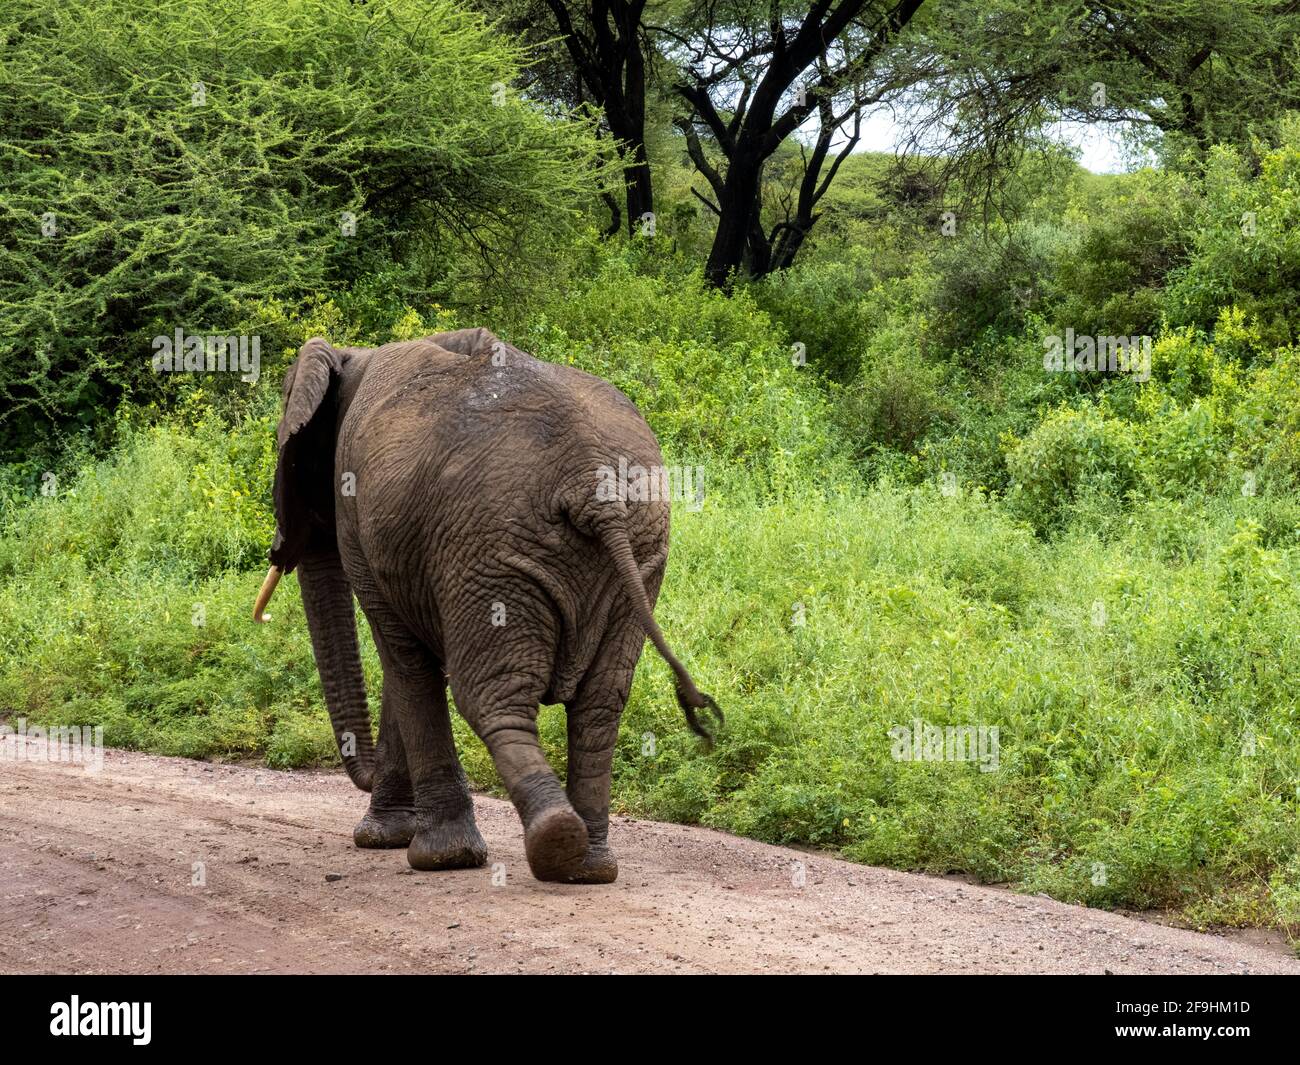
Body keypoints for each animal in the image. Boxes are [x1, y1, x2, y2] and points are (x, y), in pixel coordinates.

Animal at [251, 328, 720, 883]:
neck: (353, 357)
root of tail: (590, 480)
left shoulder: (361, 517)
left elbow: (404, 660)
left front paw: (433, 855)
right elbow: (407, 663)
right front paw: (387, 838)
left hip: (492, 552)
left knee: (491, 697)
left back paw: (551, 841)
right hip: (638, 553)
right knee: (602, 701)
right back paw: (587, 867)